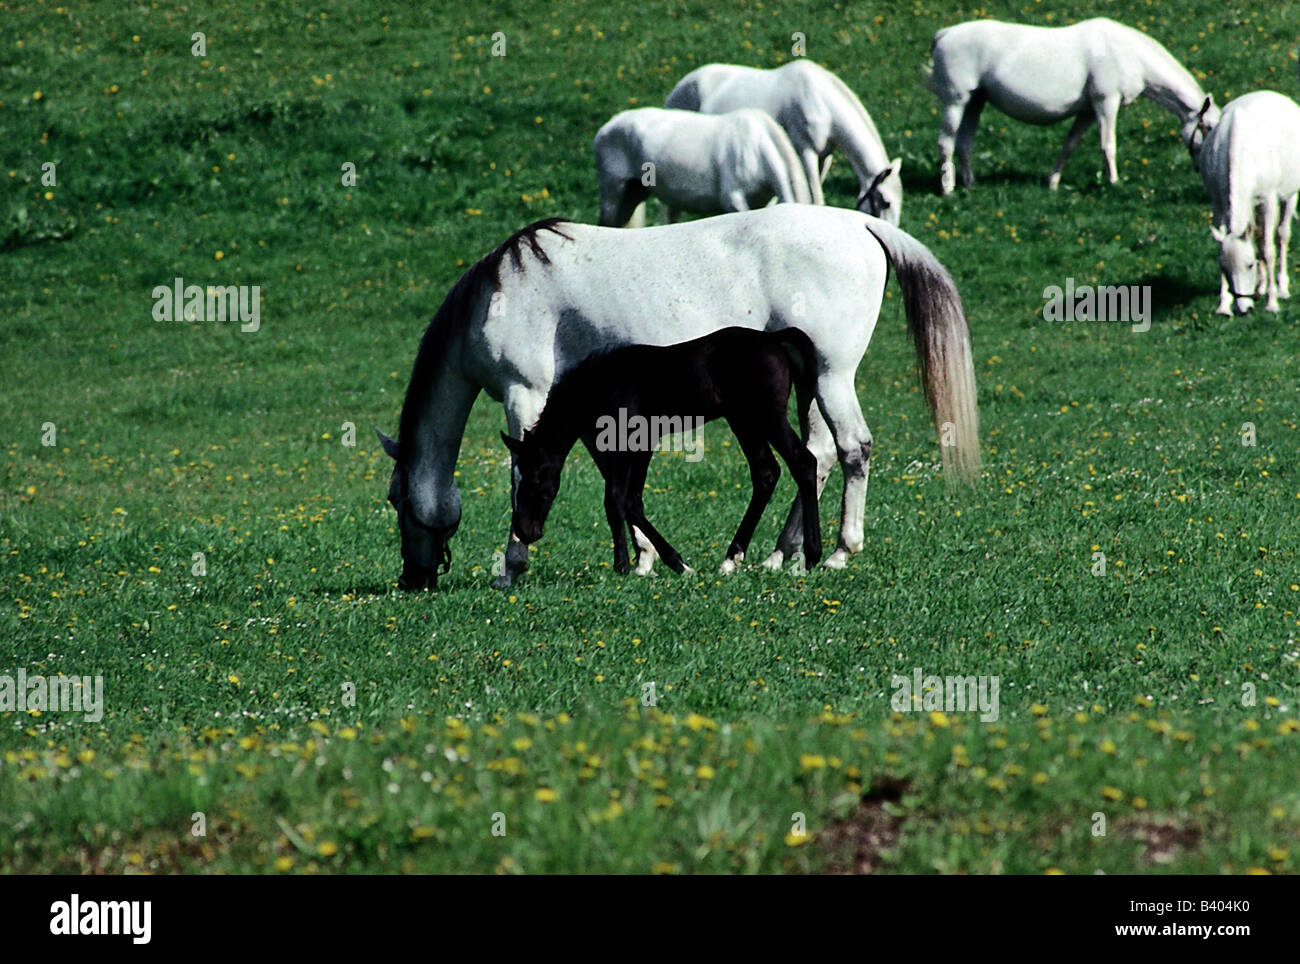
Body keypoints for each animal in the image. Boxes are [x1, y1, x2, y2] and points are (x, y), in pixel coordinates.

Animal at [501, 327, 821, 577]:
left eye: (537, 479)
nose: (526, 532)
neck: (603, 382)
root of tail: (774, 338)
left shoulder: (624, 441)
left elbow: (615, 499)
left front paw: (622, 565)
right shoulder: (642, 444)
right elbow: (632, 501)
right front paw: (677, 564)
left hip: (767, 418)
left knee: (804, 463)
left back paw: (811, 556)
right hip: (744, 423)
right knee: (766, 473)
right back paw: (732, 559)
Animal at [665, 60, 904, 223]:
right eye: (886, 202)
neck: (820, 101)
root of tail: (678, 87)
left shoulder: (825, 156)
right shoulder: (806, 151)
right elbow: (817, 198)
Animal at [925, 18, 1220, 193]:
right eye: (1207, 128)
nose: (1206, 168)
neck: (1127, 53)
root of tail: (944, 33)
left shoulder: (1088, 112)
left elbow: (1069, 145)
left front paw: (1053, 183)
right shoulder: (1106, 103)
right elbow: (1108, 145)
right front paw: (1114, 183)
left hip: (975, 102)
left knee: (964, 144)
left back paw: (969, 184)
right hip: (955, 102)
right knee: (945, 143)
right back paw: (948, 188)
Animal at [1193, 91, 1300, 315]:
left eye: (1249, 265)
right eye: (1225, 268)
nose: (1244, 308)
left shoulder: (1268, 200)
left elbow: (1268, 250)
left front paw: (1272, 303)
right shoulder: (1218, 203)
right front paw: (1224, 305)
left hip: (1290, 195)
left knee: (1282, 235)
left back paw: (1282, 288)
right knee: (1257, 236)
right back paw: (1261, 286)